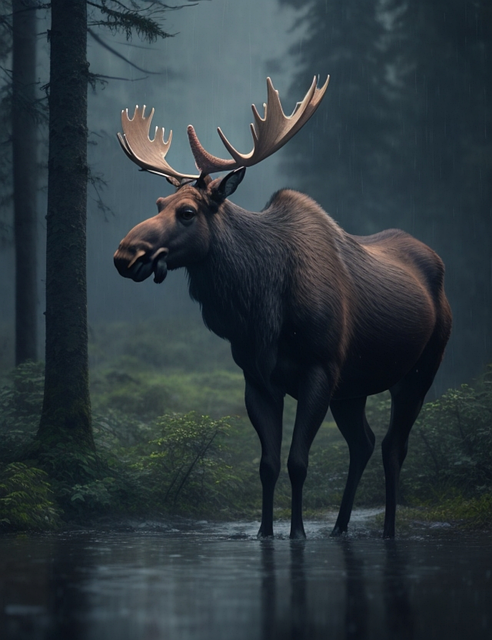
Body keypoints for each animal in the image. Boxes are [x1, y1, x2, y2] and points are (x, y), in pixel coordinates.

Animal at [113, 77, 452, 539]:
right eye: (158, 206)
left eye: (187, 212)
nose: (125, 254)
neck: (261, 310)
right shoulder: (258, 378)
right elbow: (268, 464)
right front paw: (264, 532)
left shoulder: (319, 369)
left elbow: (298, 462)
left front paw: (298, 533)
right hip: (354, 386)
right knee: (362, 442)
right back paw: (340, 527)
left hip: (420, 368)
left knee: (392, 446)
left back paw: (387, 530)